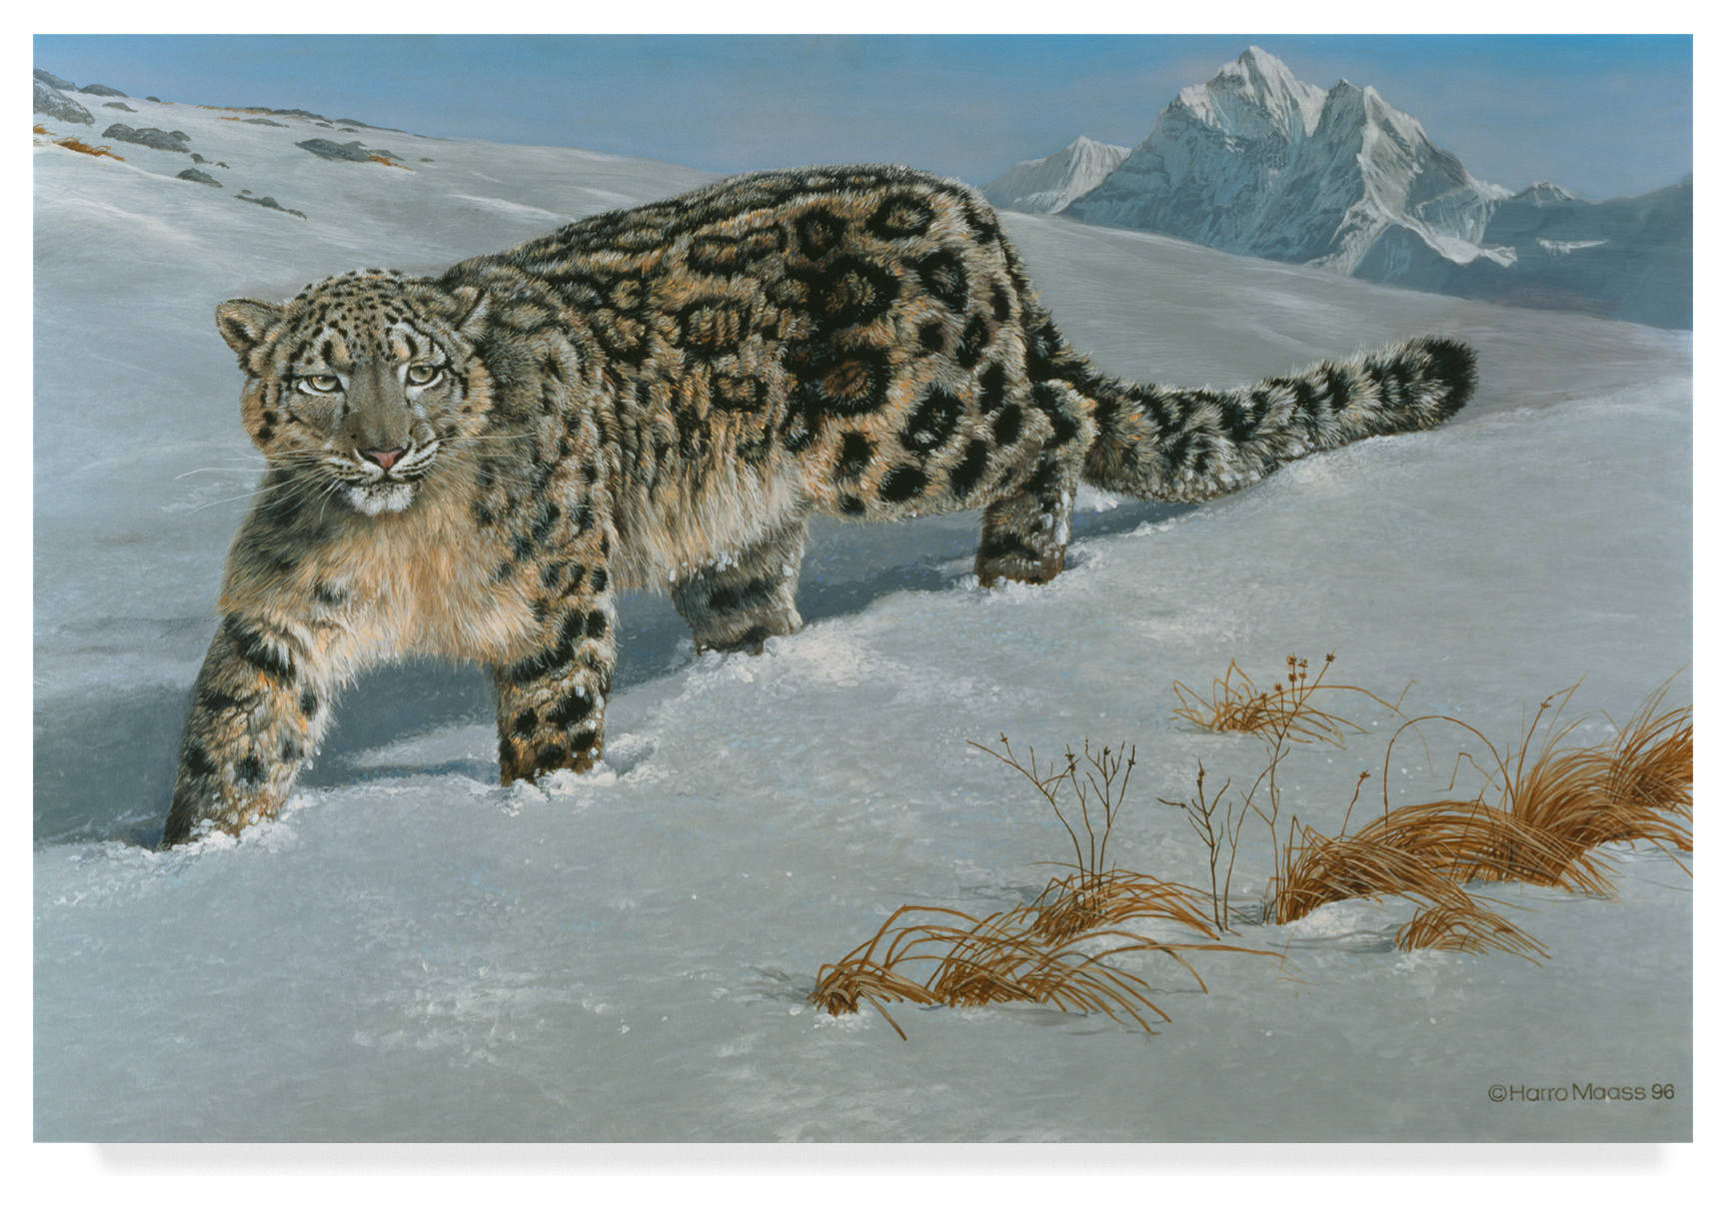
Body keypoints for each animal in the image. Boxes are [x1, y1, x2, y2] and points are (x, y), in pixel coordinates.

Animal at [163, 163, 1476, 846]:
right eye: (322, 378)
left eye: (423, 369)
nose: (385, 451)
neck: (399, 548)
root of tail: (978, 218)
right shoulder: (280, 613)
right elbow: (238, 730)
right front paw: (198, 853)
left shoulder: (551, 606)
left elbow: (546, 724)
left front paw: (545, 814)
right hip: (736, 536)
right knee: (758, 602)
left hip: (907, 430)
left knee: (1051, 427)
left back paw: (1017, 568)